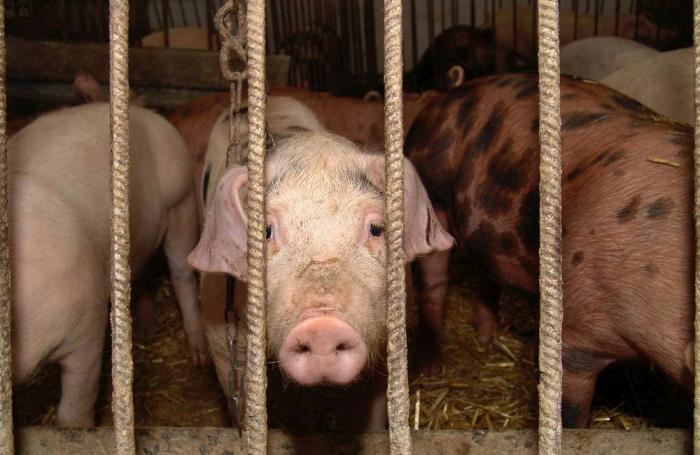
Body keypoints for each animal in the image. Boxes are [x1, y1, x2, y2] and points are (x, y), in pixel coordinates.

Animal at [9, 103, 208, 426]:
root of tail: (145, 113)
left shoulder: (85, 323)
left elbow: (73, 410)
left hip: (182, 200)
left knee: (182, 273)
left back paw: (199, 355)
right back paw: (144, 328)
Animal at [405, 73, 693, 427]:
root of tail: (440, 101)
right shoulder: (577, 331)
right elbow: (568, 409)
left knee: (486, 272)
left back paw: (489, 338)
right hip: (432, 195)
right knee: (433, 282)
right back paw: (430, 367)